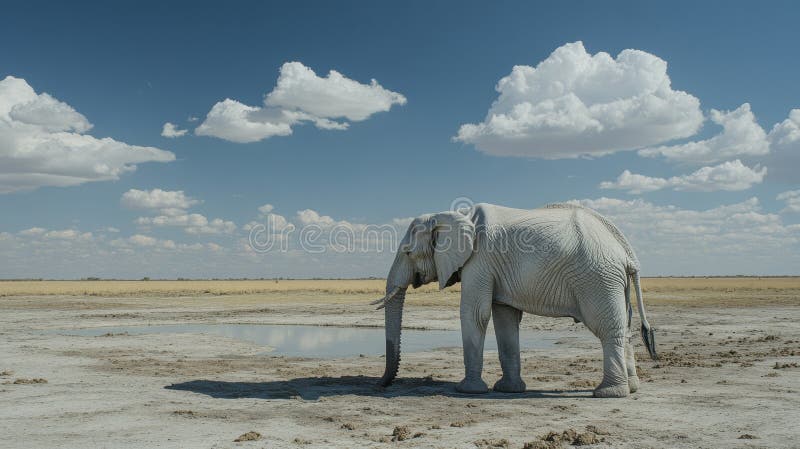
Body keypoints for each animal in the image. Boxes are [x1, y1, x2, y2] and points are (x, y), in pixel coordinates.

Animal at [372, 202, 657, 398]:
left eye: (408, 252)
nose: (379, 385)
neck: (455, 215)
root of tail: (626, 250)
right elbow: (505, 319)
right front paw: (508, 390)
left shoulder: (480, 260)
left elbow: (475, 314)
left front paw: (468, 390)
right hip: (613, 281)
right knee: (625, 328)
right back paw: (632, 388)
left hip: (597, 278)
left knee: (607, 329)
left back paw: (608, 393)